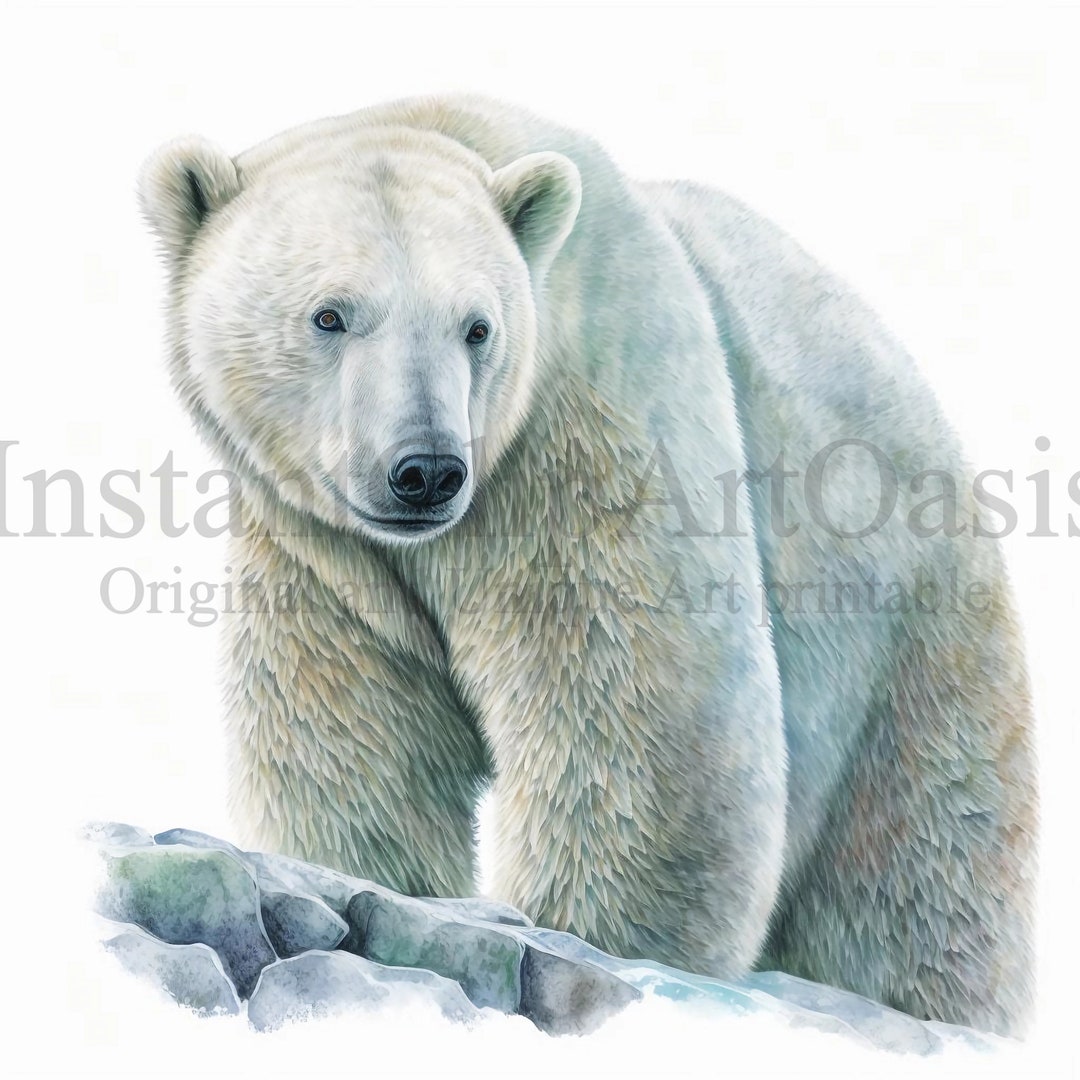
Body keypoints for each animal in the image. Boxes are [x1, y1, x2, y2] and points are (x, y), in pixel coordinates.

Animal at [138, 94, 1036, 1037]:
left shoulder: (589, 438)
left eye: (477, 327)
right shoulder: (328, 559)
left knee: (918, 879)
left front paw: (586, 944)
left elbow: (633, 713)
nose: (426, 470)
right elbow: (351, 740)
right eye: (329, 315)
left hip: (904, 638)